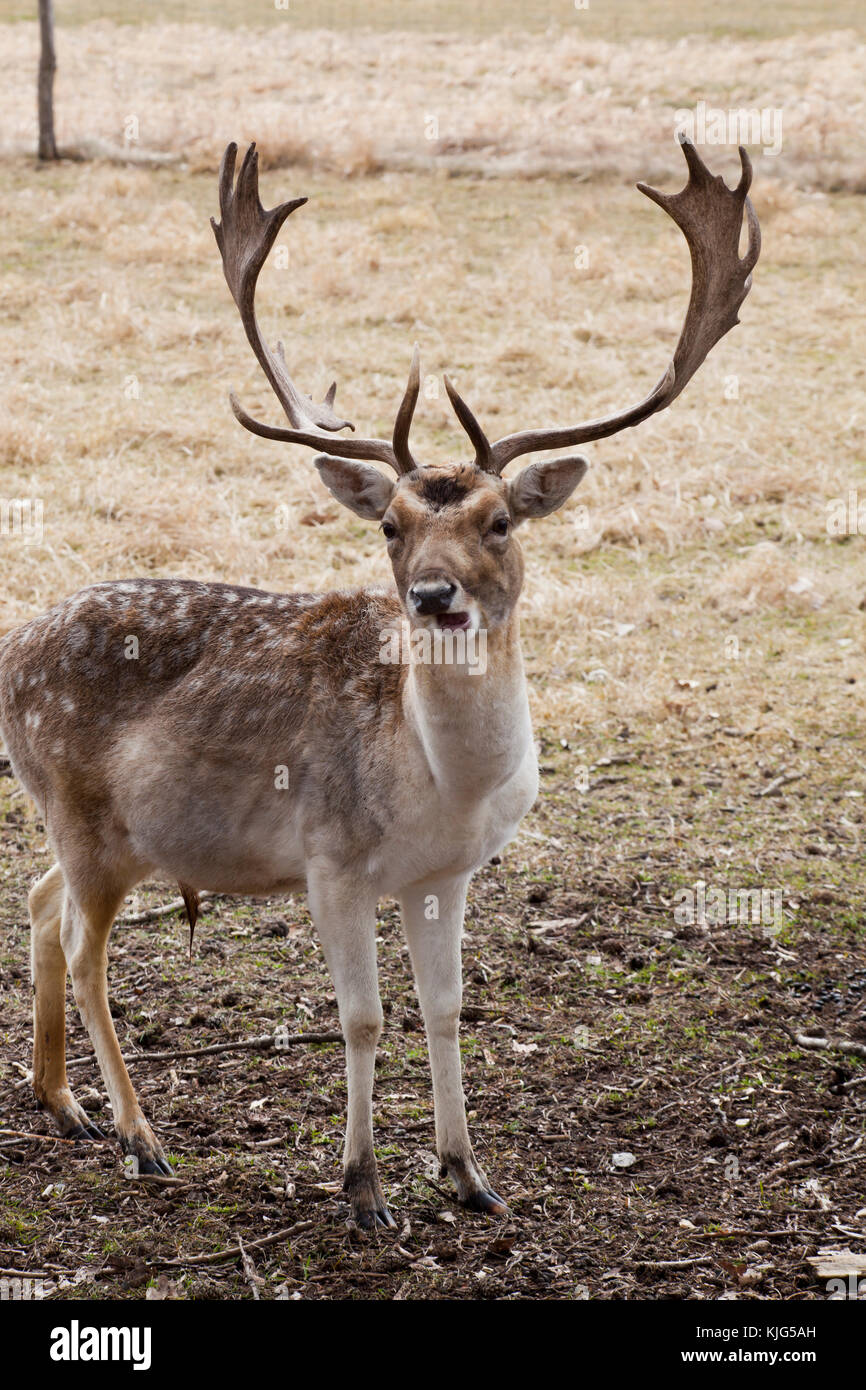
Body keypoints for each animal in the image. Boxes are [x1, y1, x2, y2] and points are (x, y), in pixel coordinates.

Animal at [0, 137, 759, 1227]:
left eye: (499, 520)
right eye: (390, 525)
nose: (434, 593)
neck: (446, 787)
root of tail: (12, 648)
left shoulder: (448, 875)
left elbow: (444, 1008)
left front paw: (471, 1175)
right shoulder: (332, 861)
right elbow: (361, 1018)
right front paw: (362, 1188)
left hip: (105, 830)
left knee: (36, 895)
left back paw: (62, 1102)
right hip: (80, 812)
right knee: (87, 944)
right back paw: (142, 1136)